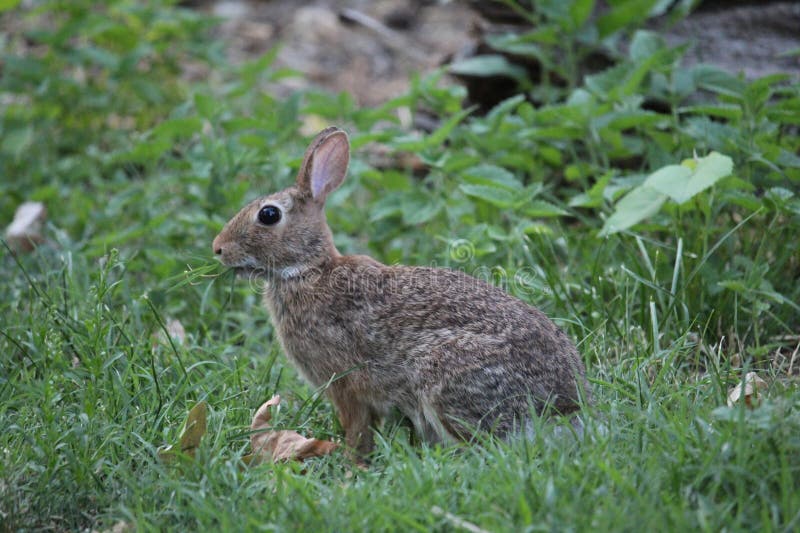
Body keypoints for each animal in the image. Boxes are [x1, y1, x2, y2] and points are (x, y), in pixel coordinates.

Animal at [212, 126, 591, 458]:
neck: (310, 270)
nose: (218, 248)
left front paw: (349, 462)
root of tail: (564, 406)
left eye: (268, 214)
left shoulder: (346, 384)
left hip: (444, 376)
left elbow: (358, 430)